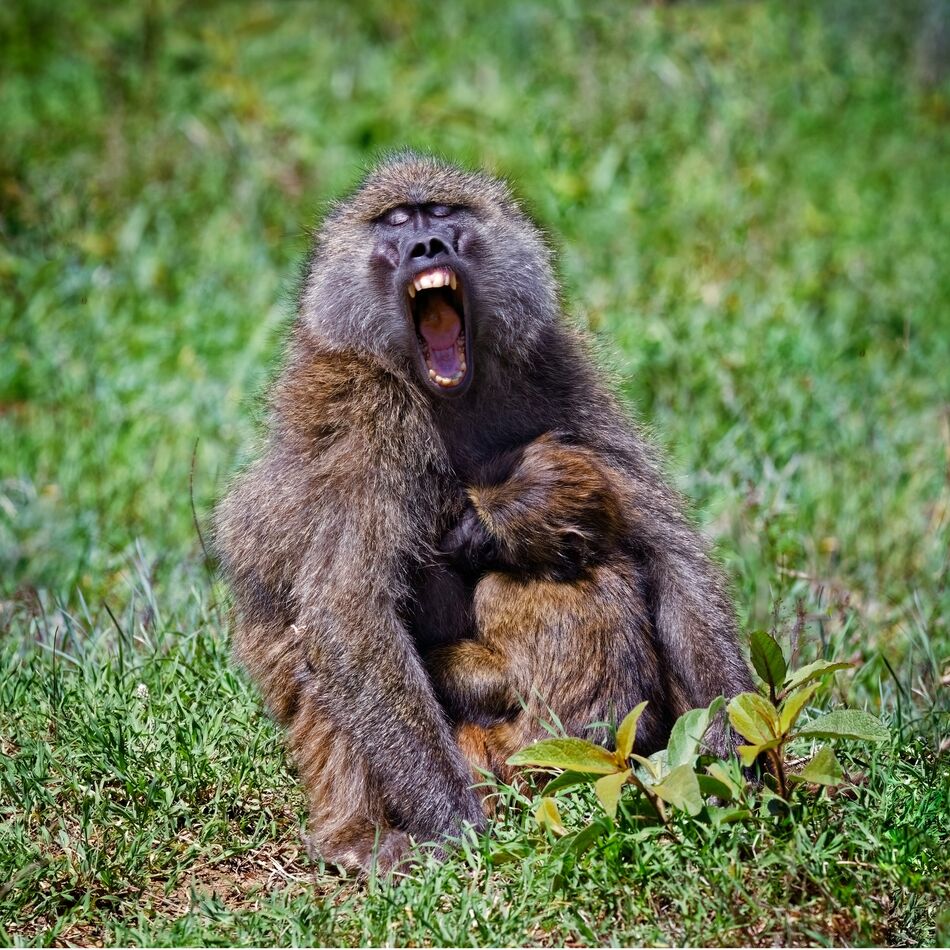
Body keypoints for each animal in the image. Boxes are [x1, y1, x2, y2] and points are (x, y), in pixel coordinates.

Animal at [214, 152, 754, 875]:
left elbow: (666, 552)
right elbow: (347, 613)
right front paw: (454, 825)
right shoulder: (369, 418)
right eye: (397, 222)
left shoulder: (553, 366)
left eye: (443, 214)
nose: (428, 245)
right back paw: (357, 839)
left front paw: (743, 758)